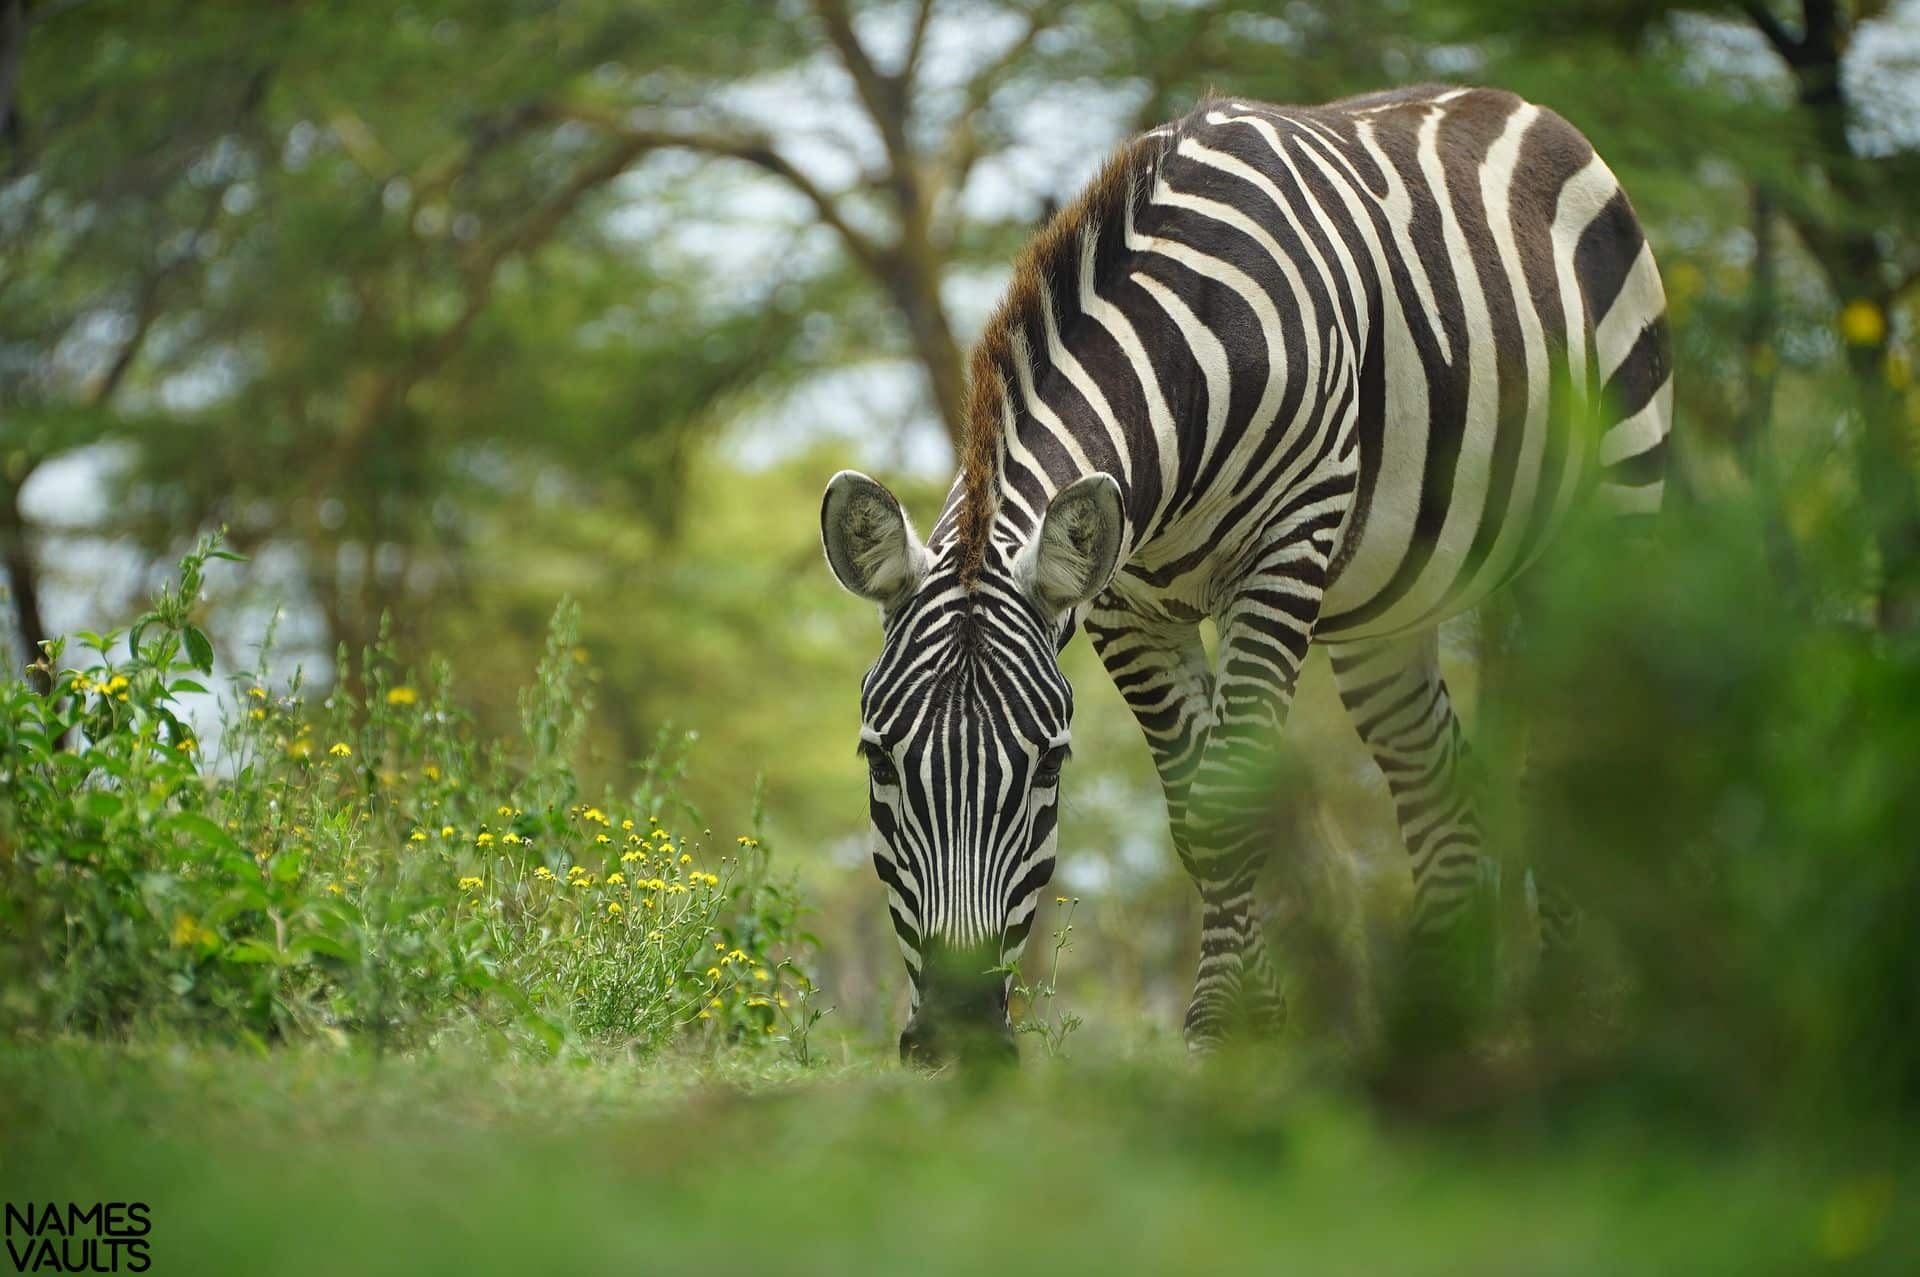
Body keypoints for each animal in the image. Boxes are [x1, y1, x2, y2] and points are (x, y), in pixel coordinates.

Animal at [819, 85, 1671, 1062]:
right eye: (878, 756)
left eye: (1049, 765)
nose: (959, 1034)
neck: (1186, 351)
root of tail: (1513, 101)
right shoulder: (1123, 603)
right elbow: (1195, 810)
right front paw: (1256, 1017)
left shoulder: (1284, 551)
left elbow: (1232, 797)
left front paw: (1223, 1022)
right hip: (1390, 610)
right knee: (1437, 782)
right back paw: (1433, 1023)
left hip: (1601, 517)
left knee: (1573, 751)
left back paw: (1571, 1007)